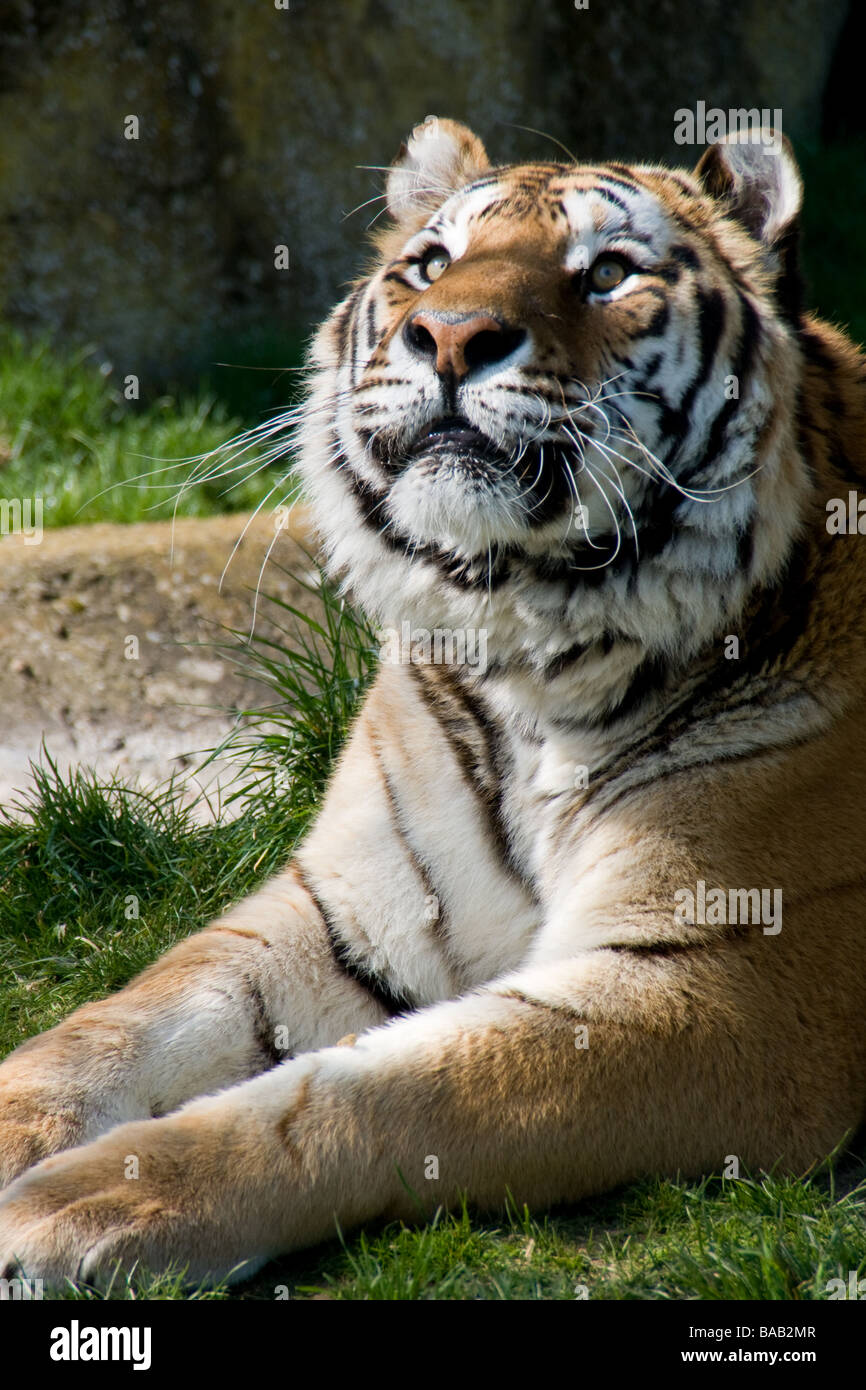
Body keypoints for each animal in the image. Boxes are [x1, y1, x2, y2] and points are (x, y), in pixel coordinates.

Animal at [2, 115, 866, 1290]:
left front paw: (82, 1204)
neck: (532, 653)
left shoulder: (725, 987)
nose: (449, 337)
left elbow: (377, 1093)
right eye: (430, 265)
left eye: (606, 273)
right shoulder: (340, 913)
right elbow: (118, 1023)